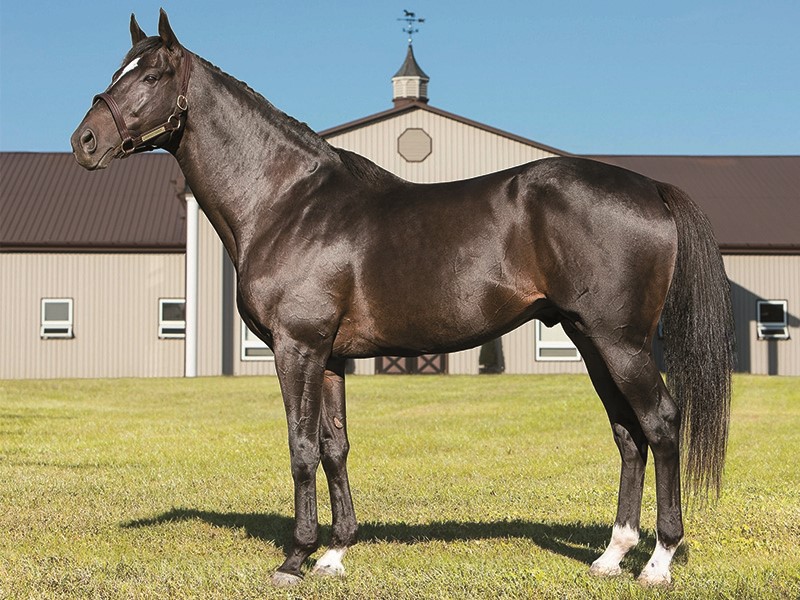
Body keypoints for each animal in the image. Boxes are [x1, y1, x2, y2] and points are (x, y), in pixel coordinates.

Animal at [71, 10, 735, 587]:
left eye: (151, 76)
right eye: (117, 70)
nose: (85, 141)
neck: (287, 202)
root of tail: (650, 186)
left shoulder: (297, 348)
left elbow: (301, 447)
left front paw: (295, 558)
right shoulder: (331, 358)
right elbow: (335, 447)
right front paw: (335, 553)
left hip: (620, 342)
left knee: (661, 425)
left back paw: (658, 561)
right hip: (591, 340)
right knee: (628, 435)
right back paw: (611, 555)